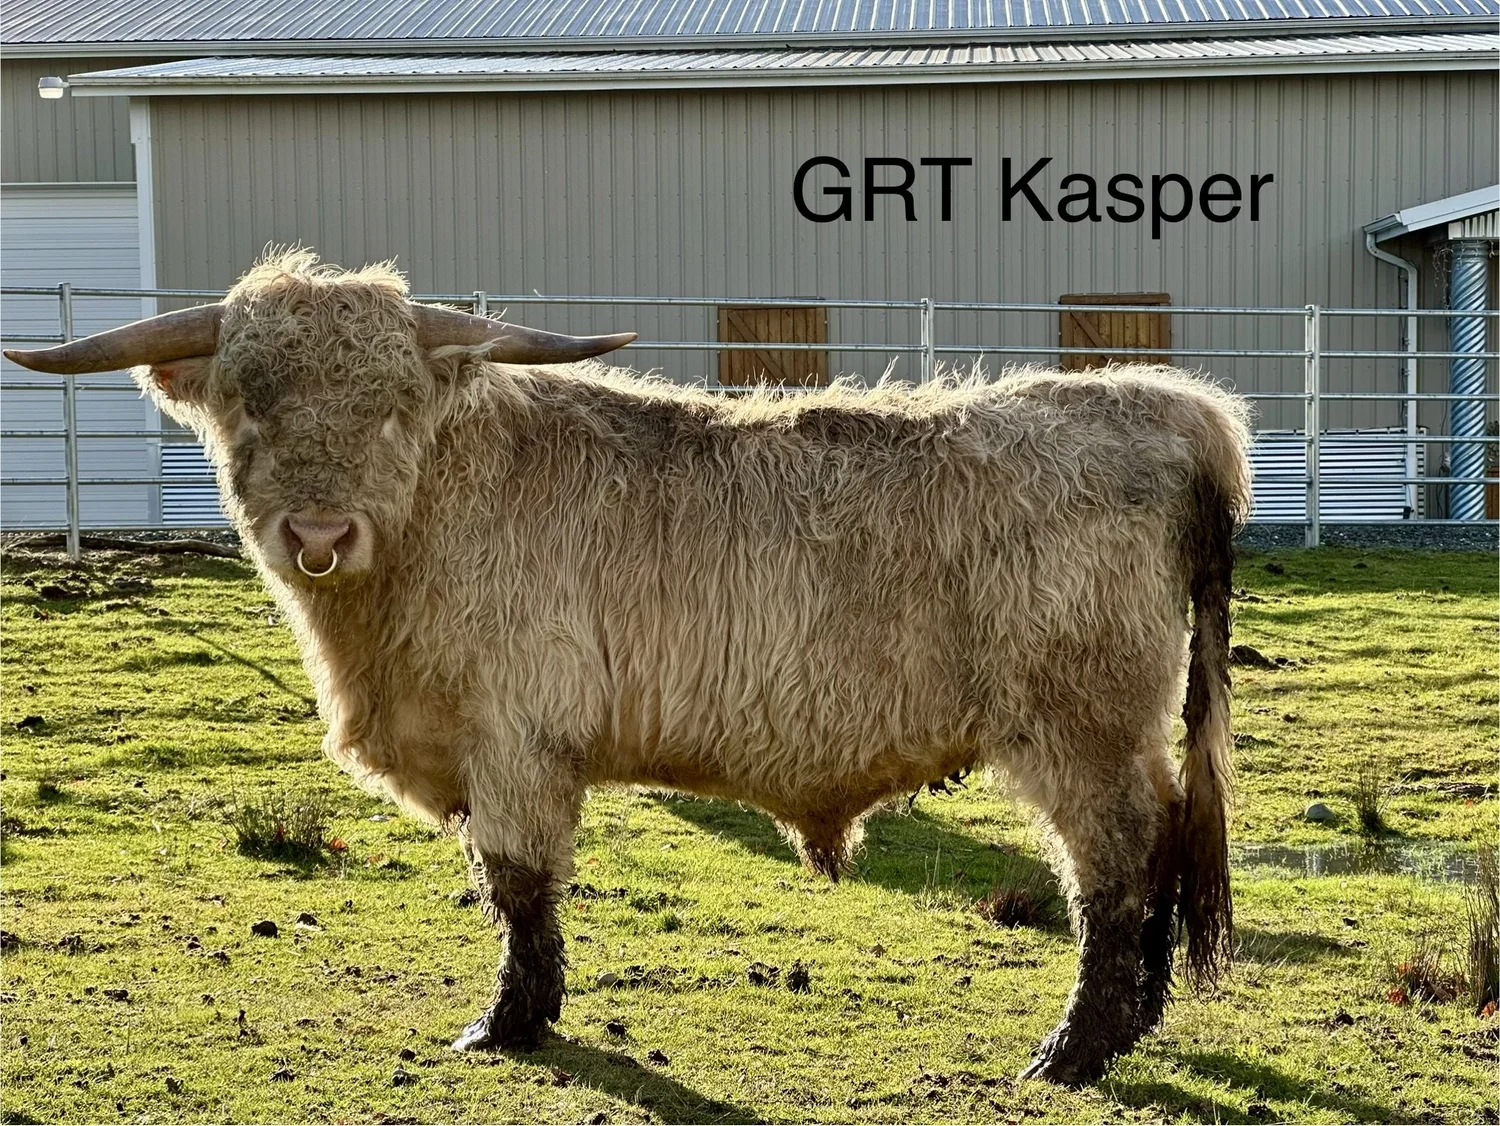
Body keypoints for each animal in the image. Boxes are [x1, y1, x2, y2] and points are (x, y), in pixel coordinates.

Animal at [5, 250, 1251, 1085]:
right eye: (246, 399)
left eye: (394, 403)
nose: (319, 532)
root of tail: (1168, 404)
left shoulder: (515, 744)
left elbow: (517, 886)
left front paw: (508, 1024)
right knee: (1158, 852)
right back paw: (1134, 1024)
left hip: (1081, 726)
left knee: (1116, 867)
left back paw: (1075, 1050)